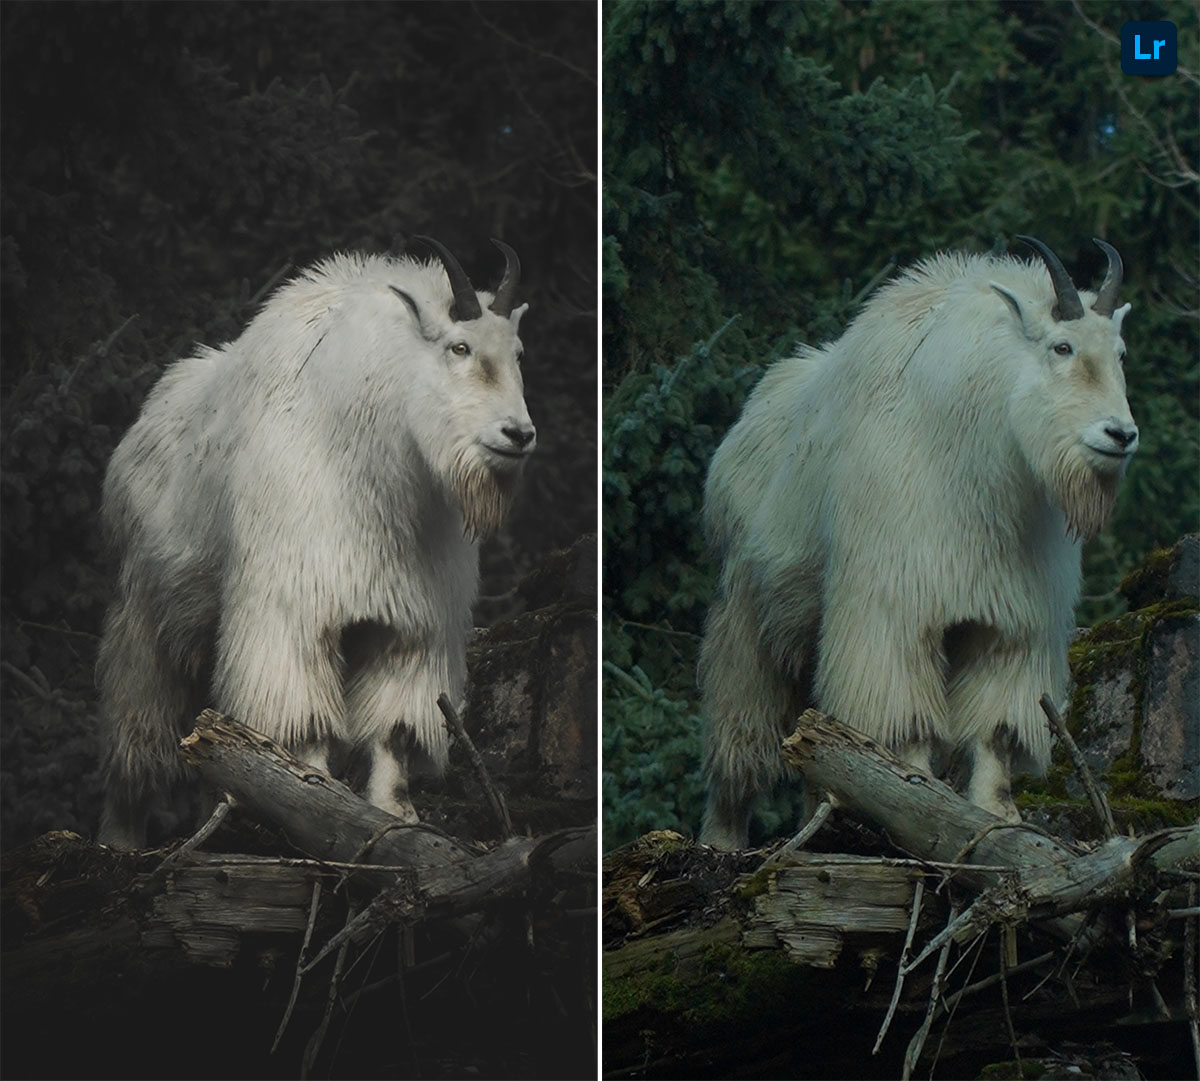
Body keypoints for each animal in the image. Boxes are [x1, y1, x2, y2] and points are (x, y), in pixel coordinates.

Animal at [97, 237, 535, 848]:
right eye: (460, 346)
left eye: (517, 352)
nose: (517, 435)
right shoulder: (295, 610)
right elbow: (303, 720)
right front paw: (317, 800)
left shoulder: (409, 624)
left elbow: (393, 731)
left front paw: (396, 816)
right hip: (142, 611)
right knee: (136, 723)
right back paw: (120, 837)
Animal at [699, 236, 1136, 849]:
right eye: (1062, 346)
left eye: (1120, 353)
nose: (1119, 435)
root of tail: (740, 431)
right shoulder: (896, 608)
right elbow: (905, 720)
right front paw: (919, 801)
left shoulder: (1010, 624)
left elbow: (995, 731)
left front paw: (999, 817)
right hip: (745, 607)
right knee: (739, 727)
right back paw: (722, 838)